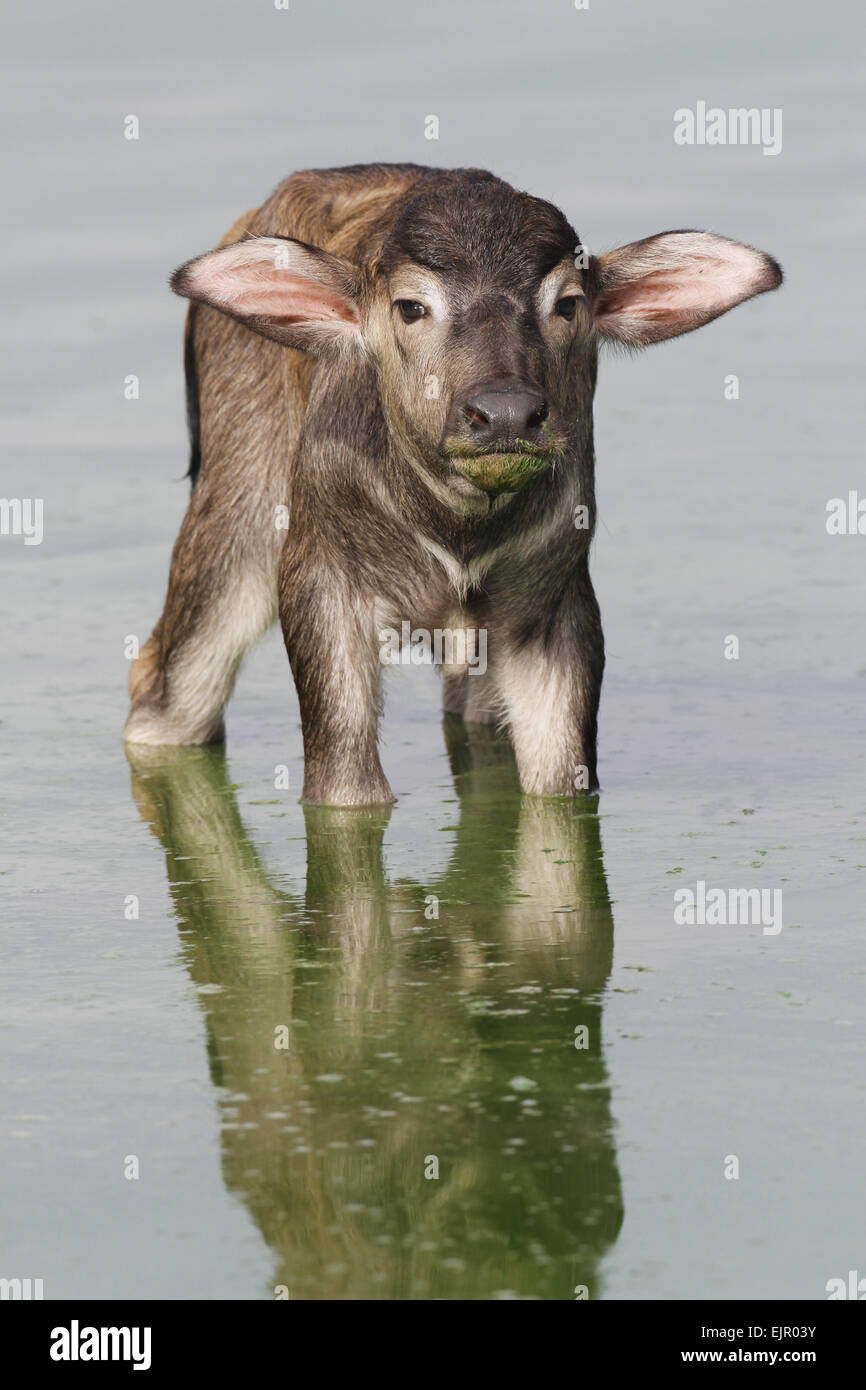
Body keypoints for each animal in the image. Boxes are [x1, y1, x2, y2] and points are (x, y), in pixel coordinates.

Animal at [123, 163, 781, 805]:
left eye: (568, 304)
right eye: (411, 307)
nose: (507, 414)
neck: (458, 530)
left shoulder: (554, 612)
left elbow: (560, 785)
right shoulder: (321, 591)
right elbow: (347, 788)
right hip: (235, 522)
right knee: (164, 692)